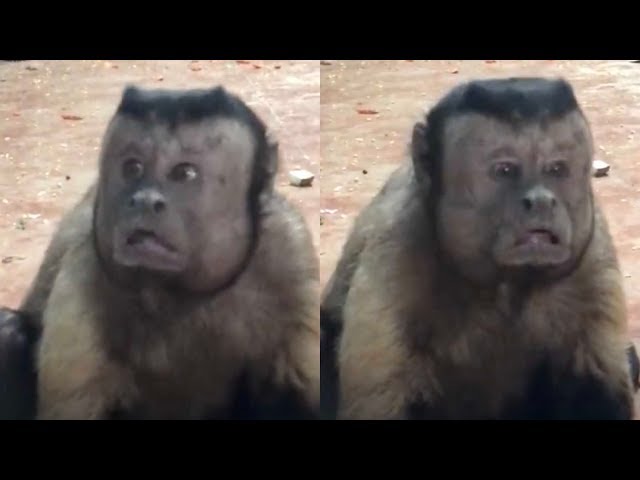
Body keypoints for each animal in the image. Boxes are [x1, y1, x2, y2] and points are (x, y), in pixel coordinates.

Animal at [0, 85, 319, 420]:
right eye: (132, 167)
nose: (144, 200)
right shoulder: (84, 266)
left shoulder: (291, 253)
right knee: (7, 332)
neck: (179, 293)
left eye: (184, 173)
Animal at [321, 77, 635, 420]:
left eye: (556, 169)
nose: (541, 201)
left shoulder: (592, 250)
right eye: (505, 170)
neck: (505, 284)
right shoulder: (398, 248)